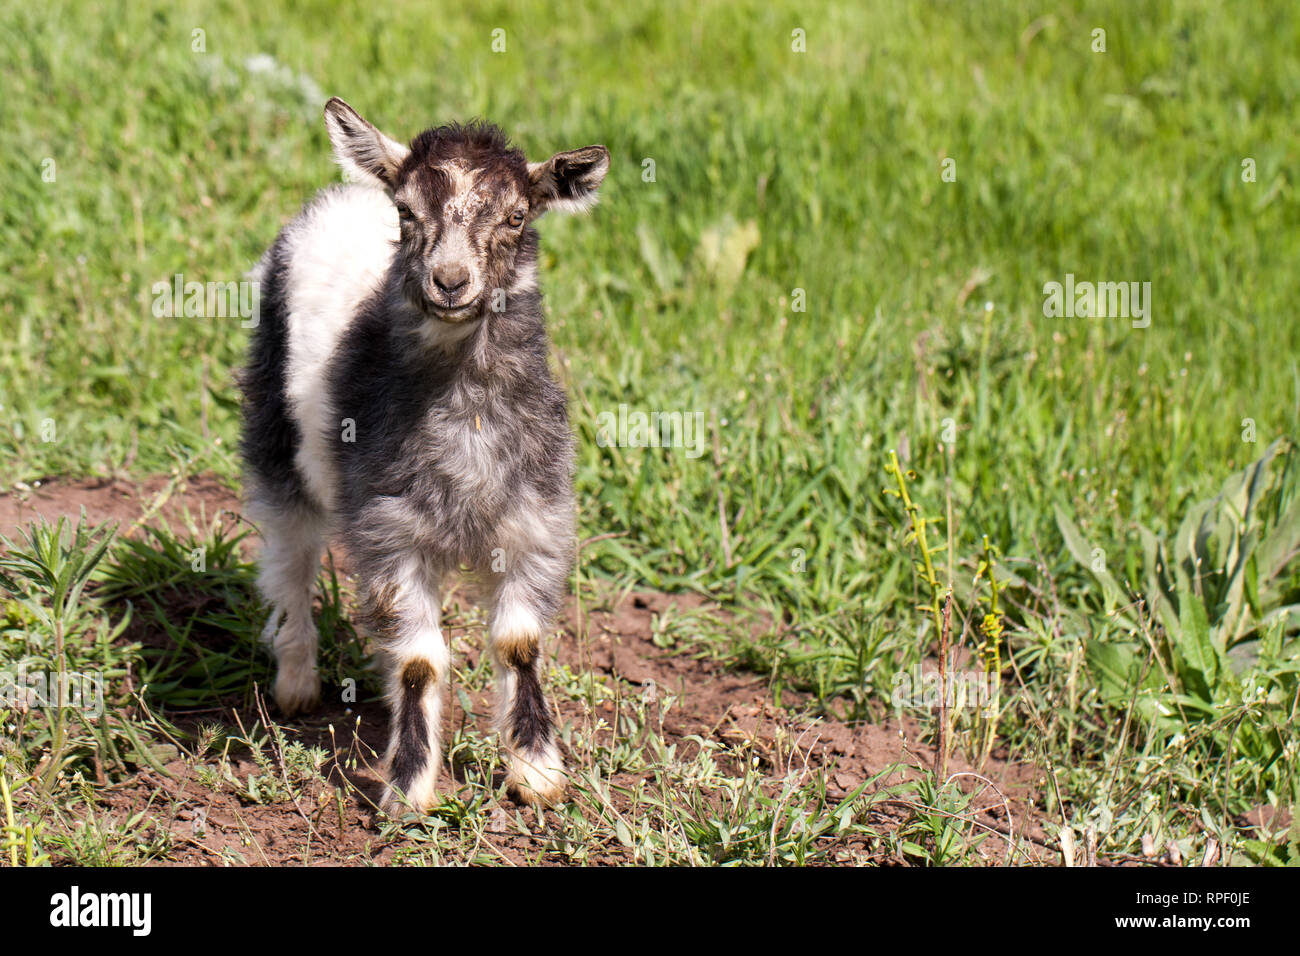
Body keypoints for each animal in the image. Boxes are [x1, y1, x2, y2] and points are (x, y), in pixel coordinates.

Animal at [239, 97, 608, 813]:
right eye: (407, 211)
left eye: (517, 216)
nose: (450, 282)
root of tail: (342, 195)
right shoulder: (391, 531)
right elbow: (421, 661)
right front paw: (408, 788)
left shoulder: (536, 525)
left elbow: (517, 644)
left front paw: (536, 774)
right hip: (276, 437)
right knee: (290, 556)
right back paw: (296, 680)